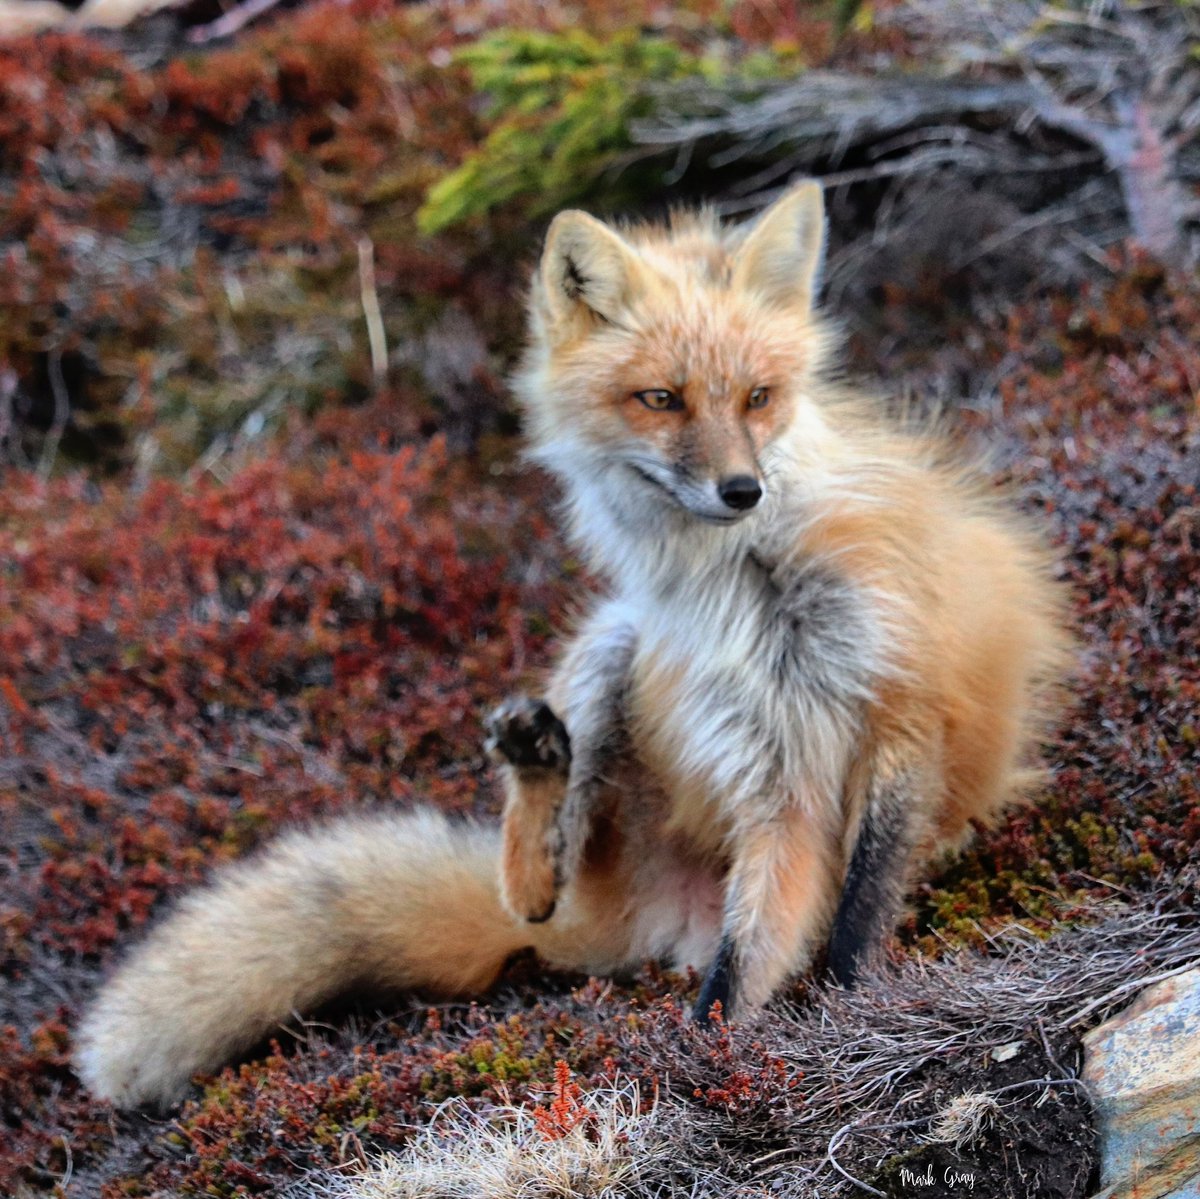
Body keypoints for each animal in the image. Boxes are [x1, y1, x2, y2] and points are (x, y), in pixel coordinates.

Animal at [75, 182, 1074, 1110]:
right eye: (662, 399)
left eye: (758, 397)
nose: (741, 489)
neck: (751, 582)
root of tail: (633, 921)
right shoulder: (771, 766)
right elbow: (740, 964)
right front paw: (706, 1063)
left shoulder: (901, 708)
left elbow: (854, 910)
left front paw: (846, 1011)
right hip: (614, 640)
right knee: (530, 892)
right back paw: (535, 767)